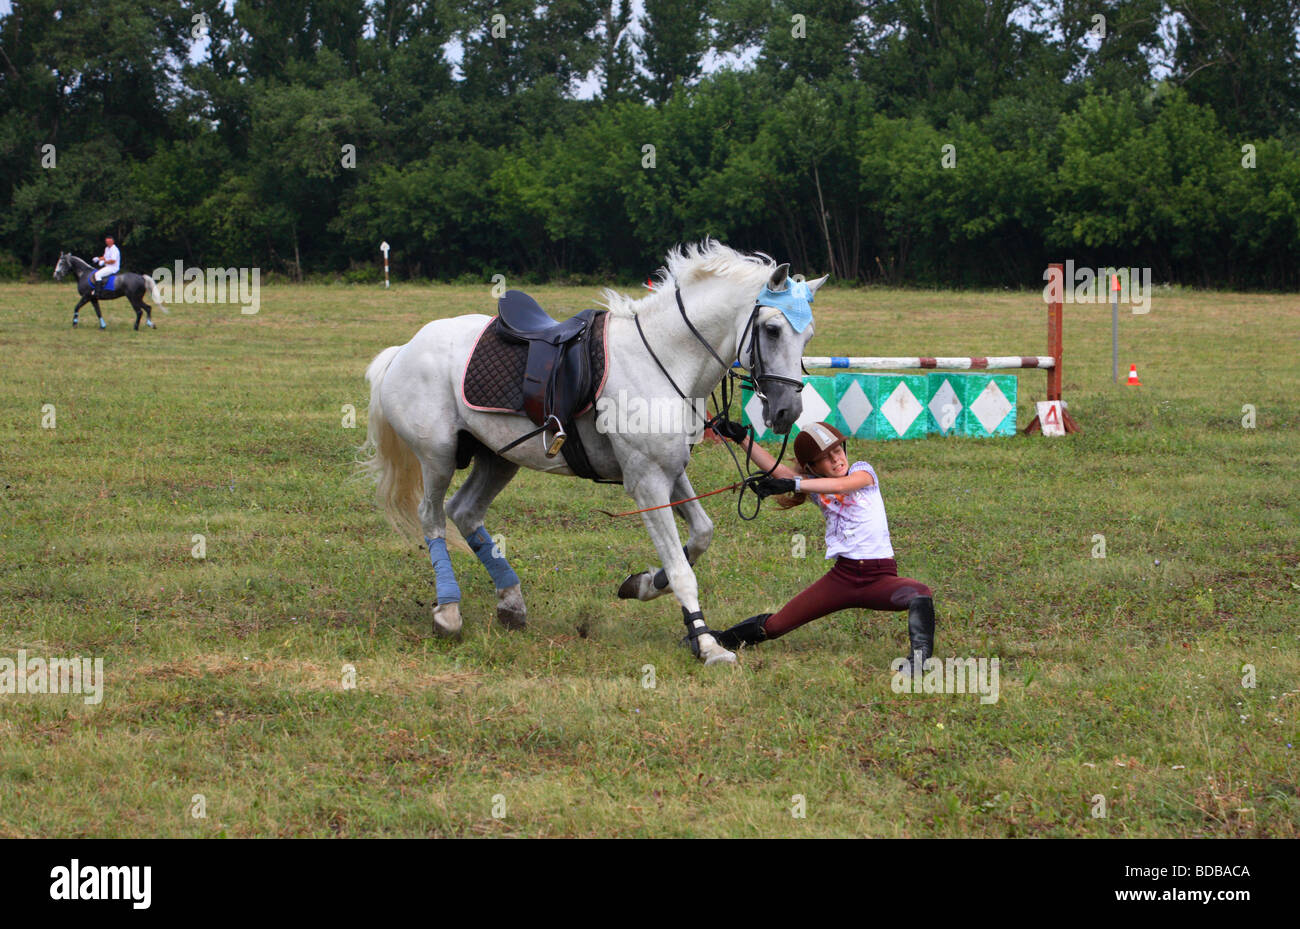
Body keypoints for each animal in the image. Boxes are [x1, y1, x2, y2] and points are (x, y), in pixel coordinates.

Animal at [362, 240, 825, 665]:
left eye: (808, 335)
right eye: (772, 330)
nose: (786, 412)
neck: (664, 360)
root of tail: (404, 349)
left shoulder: (672, 472)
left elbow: (700, 537)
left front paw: (645, 584)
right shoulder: (647, 483)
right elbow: (682, 570)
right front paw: (707, 643)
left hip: (499, 458)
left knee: (465, 512)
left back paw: (510, 602)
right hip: (437, 458)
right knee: (432, 518)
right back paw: (449, 612)